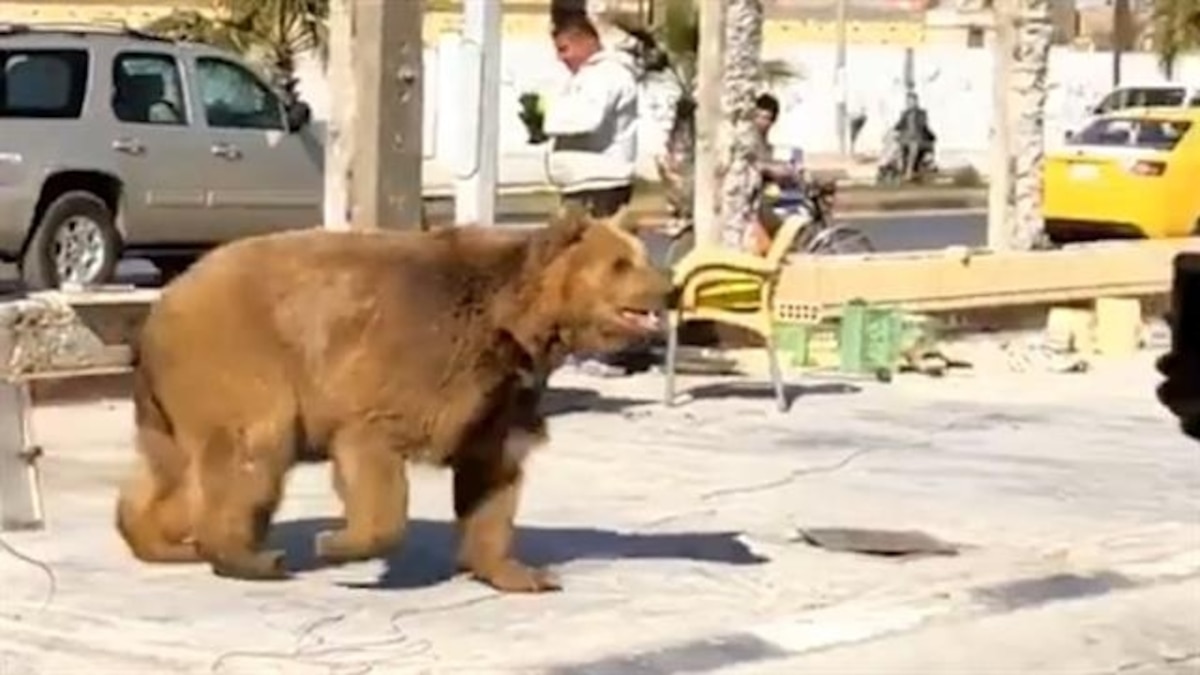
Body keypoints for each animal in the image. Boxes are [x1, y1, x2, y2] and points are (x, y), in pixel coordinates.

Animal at [114, 206, 670, 593]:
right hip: (242, 358)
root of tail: (162, 303)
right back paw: (253, 558)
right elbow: (376, 455)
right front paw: (338, 543)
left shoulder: (501, 395)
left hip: (179, 397)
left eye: (642, 257)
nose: (666, 289)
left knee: (172, 471)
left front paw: (521, 572)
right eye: (621, 265)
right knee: (252, 448)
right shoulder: (417, 364)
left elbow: (493, 480)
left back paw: (161, 541)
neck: (517, 327)